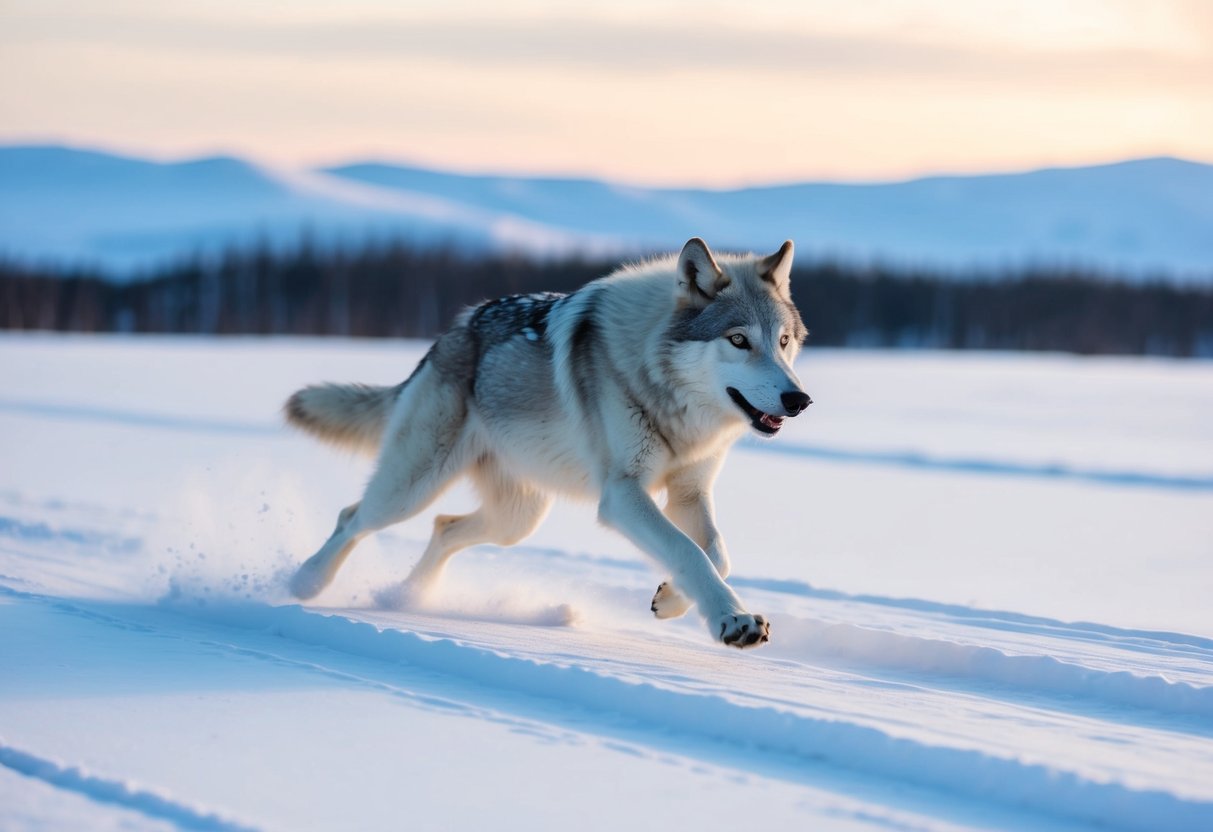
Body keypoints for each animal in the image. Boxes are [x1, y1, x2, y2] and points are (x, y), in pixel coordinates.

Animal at [284, 237, 811, 648]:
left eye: (783, 341)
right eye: (739, 340)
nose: (799, 399)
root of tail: (450, 332)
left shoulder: (688, 493)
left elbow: (716, 553)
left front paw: (671, 600)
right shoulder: (622, 494)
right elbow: (688, 551)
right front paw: (732, 620)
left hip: (516, 519)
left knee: (443, 527)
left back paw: (408, 596)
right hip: (412, 488)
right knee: (352, 518)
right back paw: (306, 582)